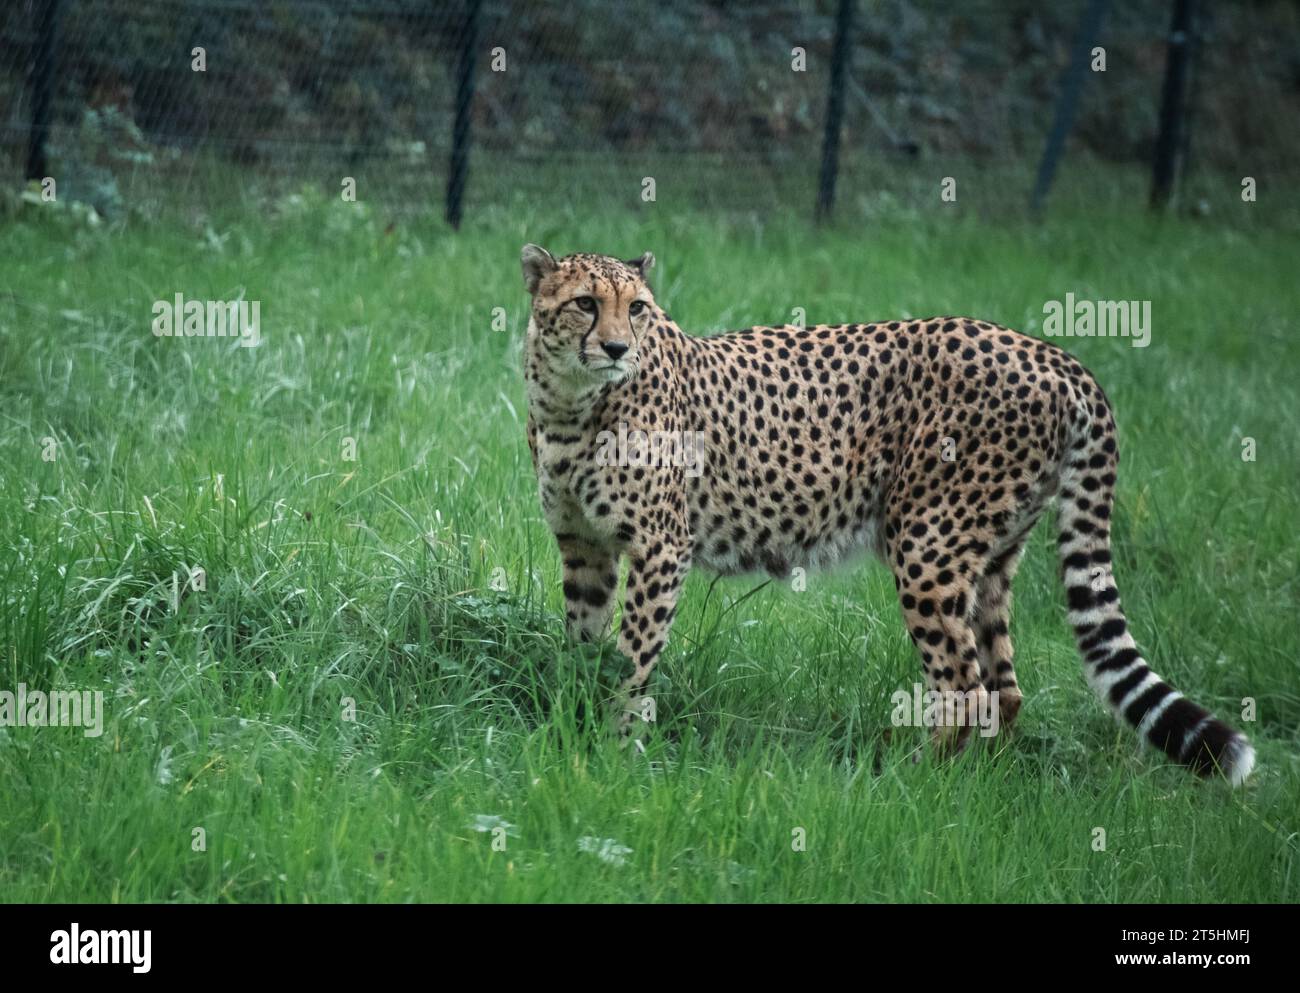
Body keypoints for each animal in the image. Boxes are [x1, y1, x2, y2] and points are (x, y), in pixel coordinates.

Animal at [519, 243, 1255, 785]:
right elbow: (582, 645)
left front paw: (617, 748)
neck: (572, 403)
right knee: (1005, 686)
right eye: (586, 304)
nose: (617, 348)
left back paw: (917, 783)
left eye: (638, 310)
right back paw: (982, 789)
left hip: (928, 545)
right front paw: (570, 726)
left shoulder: (659, 548)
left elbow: (633, 657)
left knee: (964, 687)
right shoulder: (583, 545)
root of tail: (1055, 354)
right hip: (991, 555)